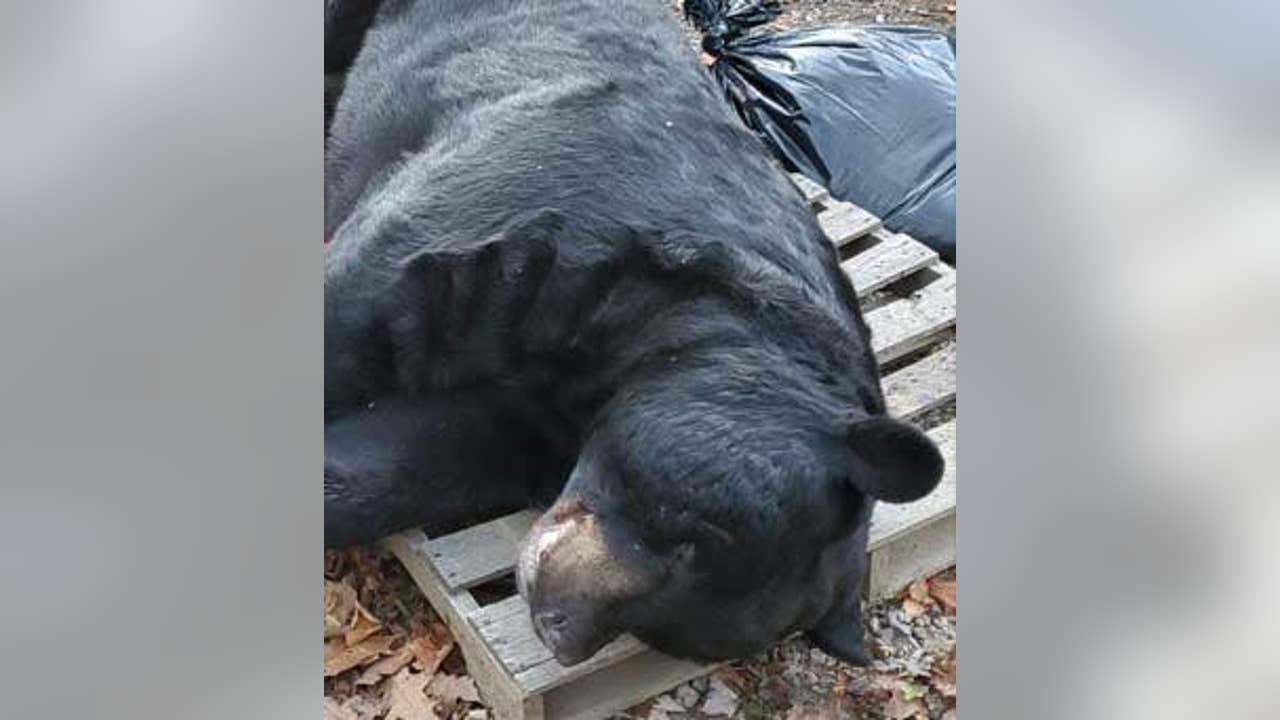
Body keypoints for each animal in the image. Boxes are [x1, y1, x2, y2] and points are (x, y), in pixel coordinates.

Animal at [324, 0, 944, 667]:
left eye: (666, 635)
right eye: (692, 535)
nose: (559, 629)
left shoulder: (546, 417)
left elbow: (428, 452)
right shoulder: (546, 210)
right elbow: (368, 296)